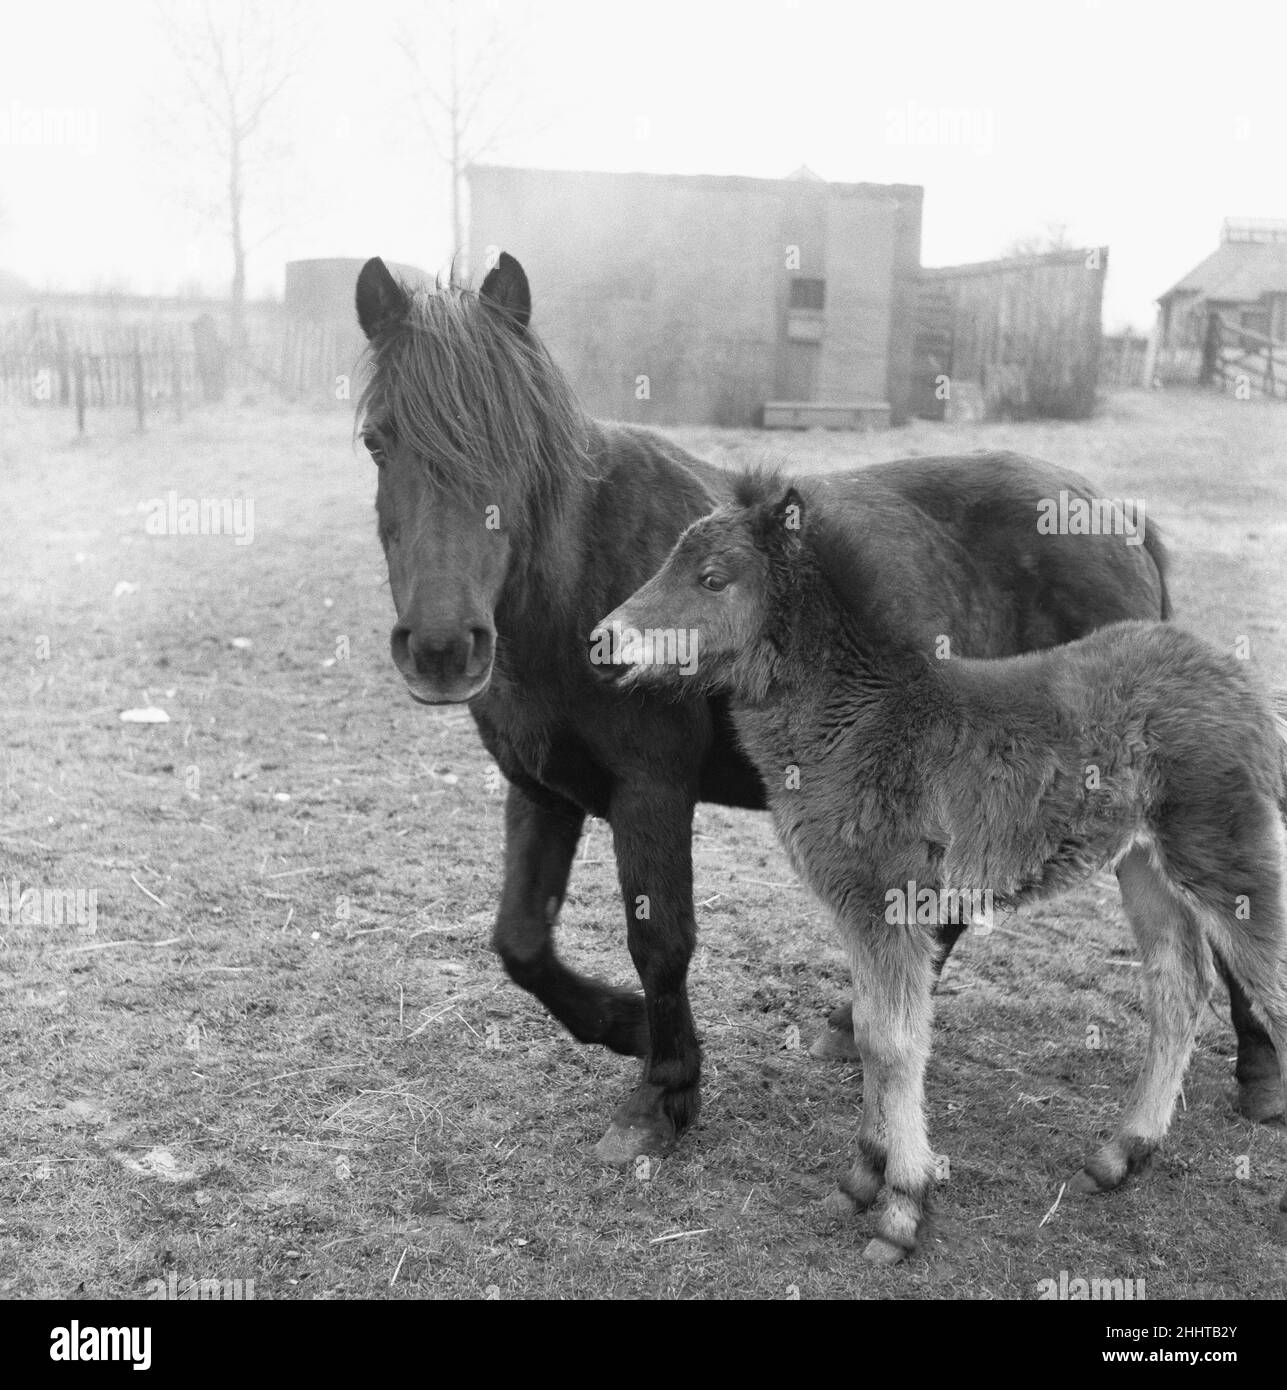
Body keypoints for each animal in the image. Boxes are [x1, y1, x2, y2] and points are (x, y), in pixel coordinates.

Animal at [353, 250, 1277, 1162]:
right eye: (375, 439)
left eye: (514, 443)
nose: (442, 648)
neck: (581, 584)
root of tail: (1122, 523)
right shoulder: (541, 790)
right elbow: (520, 941)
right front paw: (626, 1029)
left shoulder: (650, 793)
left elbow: (661, 940)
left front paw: (660, 1093)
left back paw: (1259, 1073)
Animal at [595, 471, 1287, 1262]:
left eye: (712, 579)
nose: (601, 641)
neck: (858, 719)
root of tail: (1244, 686)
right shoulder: (855, 907)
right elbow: (871, 1034)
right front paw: (861, 1179)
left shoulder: (888, 902)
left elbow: (897, 1045)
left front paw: (902, 1209)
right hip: (1143, 861)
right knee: (1178, 987)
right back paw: (1119, 1157)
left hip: (1221, 854)